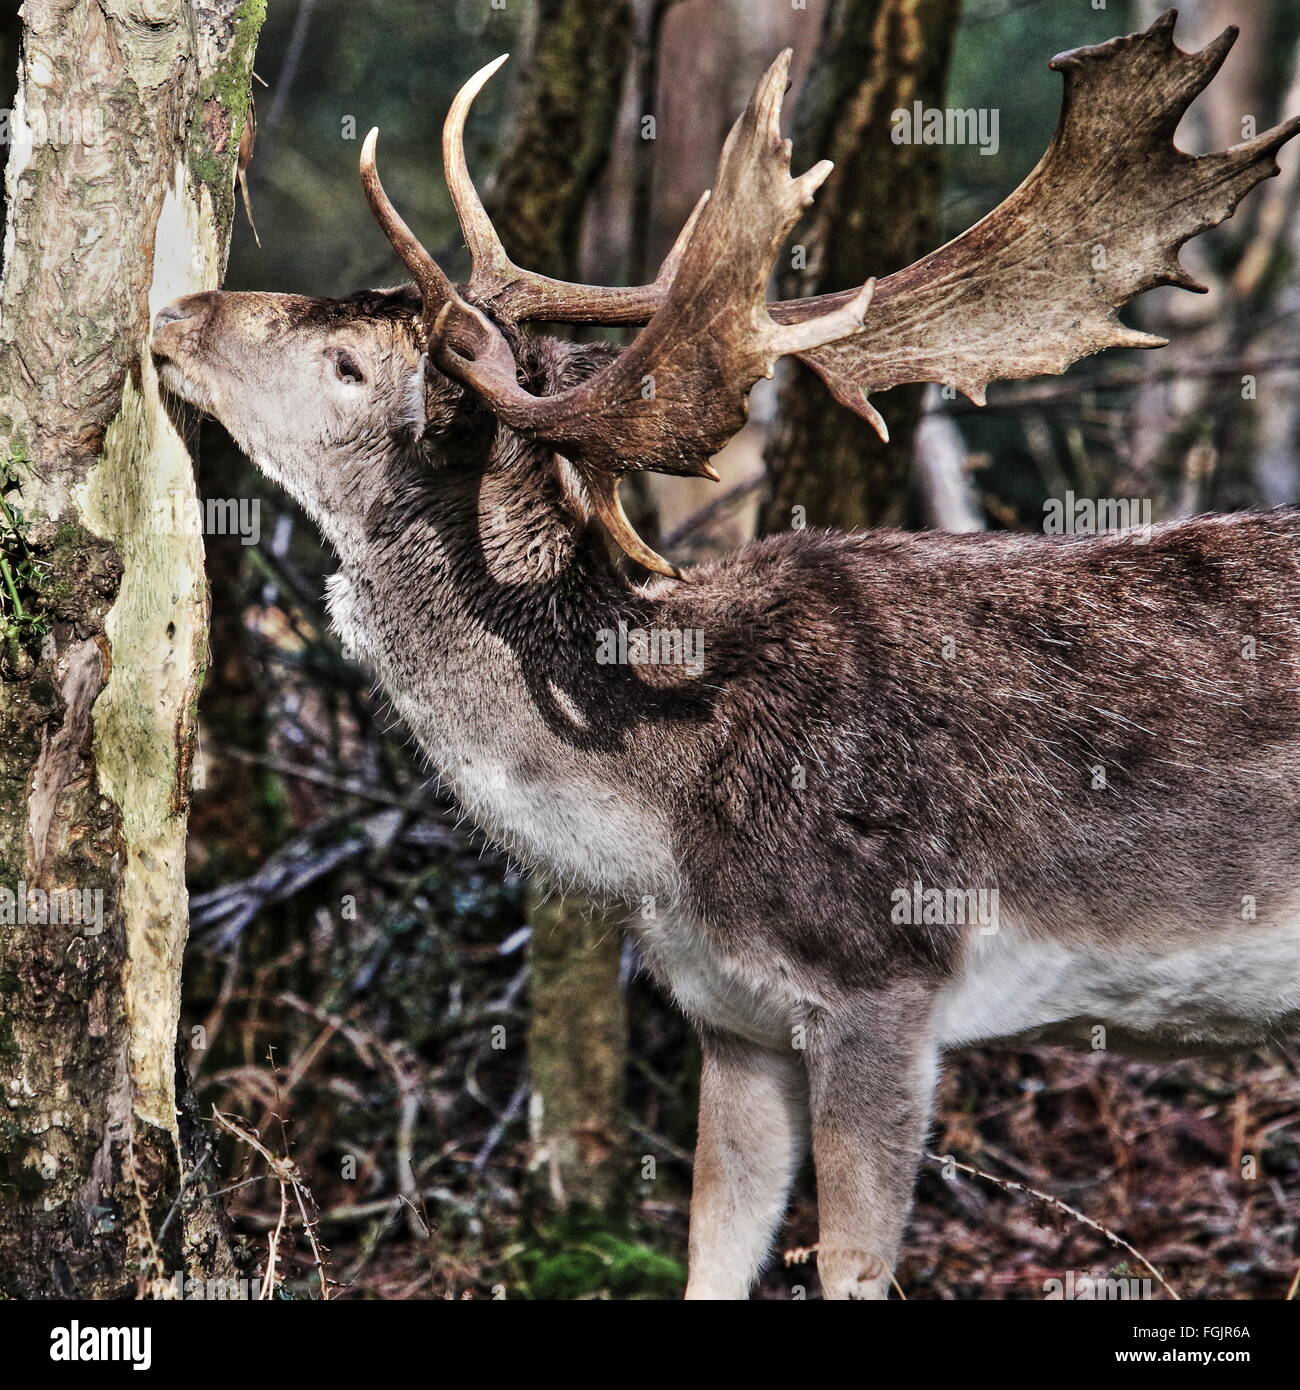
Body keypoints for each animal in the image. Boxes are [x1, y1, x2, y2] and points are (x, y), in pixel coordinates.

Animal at [152, 11, 1300, 1299]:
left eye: (349, 363)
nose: (178, 311)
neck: (669, 813)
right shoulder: (728, 1016)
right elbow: (710, 1249)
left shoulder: (882, 976)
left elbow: (850, 1262)